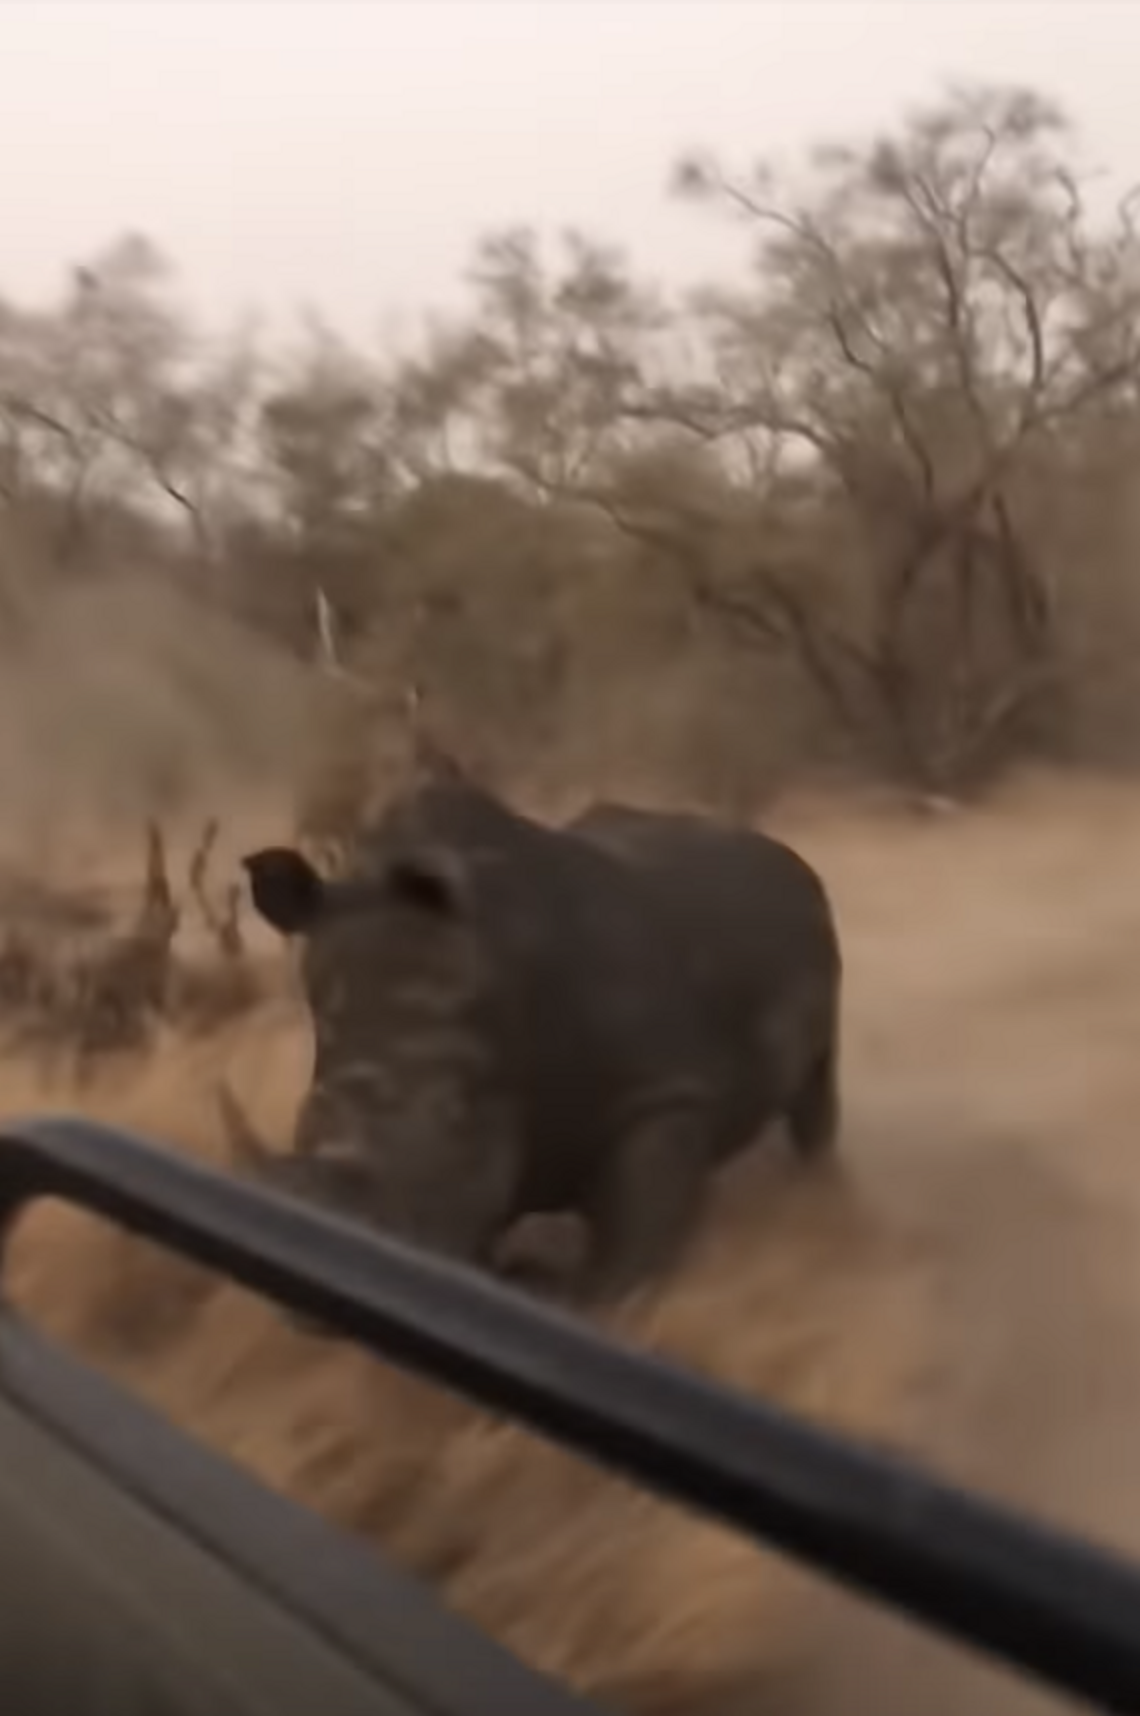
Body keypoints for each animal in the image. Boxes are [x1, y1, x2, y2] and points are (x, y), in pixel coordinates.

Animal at [222, 772, 842, 1301]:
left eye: (452, 1116)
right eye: (307, 1115)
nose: (326, 1259)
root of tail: (781, 849)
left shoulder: (662, 1092)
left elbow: (624, 1268)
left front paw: (579, 1299)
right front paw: (519, 1278)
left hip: (812, 911)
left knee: (815, 1091)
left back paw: (814, 1198)